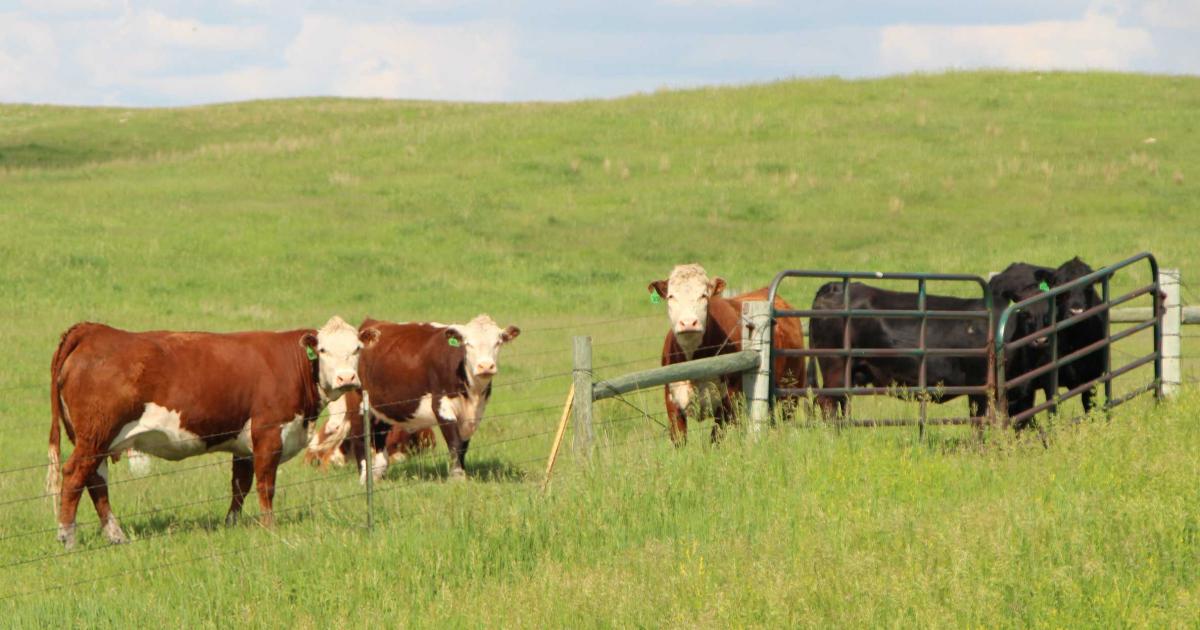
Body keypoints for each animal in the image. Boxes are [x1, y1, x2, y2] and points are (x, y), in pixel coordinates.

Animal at [46, 316, 370, 549]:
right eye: (324, 350)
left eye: (356, 349)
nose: (346, 378)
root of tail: (93, 331)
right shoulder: (268, 434)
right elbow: (266, 485)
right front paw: (270, 528)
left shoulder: (244, 445)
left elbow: (240, 485)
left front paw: (231, 524)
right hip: (95, 435)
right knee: (74, 475)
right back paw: (68, 538)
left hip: (97, 439)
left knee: (96, 481)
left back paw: (116, 536)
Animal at [305, 314, 519, 482]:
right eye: (468, 343)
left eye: (498, 342)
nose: (486, 366)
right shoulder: (442, 406)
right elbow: (455, 444)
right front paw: (457, 478)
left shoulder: (473, 415)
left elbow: (463, 446)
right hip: (357, 403)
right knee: (359, 438)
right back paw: (365, 477)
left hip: (383, 408)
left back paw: (378, 475)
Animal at [648, 264, 807, 444]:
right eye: (671, 296)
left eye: (704, 295)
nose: (688, 323)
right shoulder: (673, 403)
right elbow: (679, 439)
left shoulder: (729, 404)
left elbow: (715, 439)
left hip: (791, 391)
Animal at [808, 264, 1056, 428]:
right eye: (1023, 312)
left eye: (1046, 312)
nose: (1041, 340)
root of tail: (833, 288)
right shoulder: (980, 387)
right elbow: (979, 421)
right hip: (835, 368)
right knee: (827, 402)